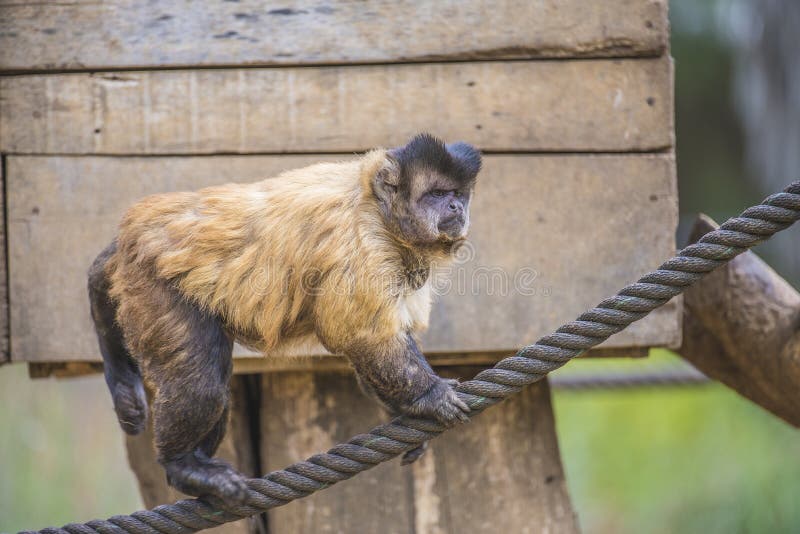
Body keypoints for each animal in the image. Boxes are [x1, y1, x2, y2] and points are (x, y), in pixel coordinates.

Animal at [87, 133, 481, 506]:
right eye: (436, 194)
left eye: (458, 194)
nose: (455, 206)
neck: (377, 208)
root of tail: (136, 228)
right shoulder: (362, 245)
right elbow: (361, 336)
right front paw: (429, 396)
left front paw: (404, 409)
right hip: (154, 282)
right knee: (202, 381)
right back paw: (182, 465)